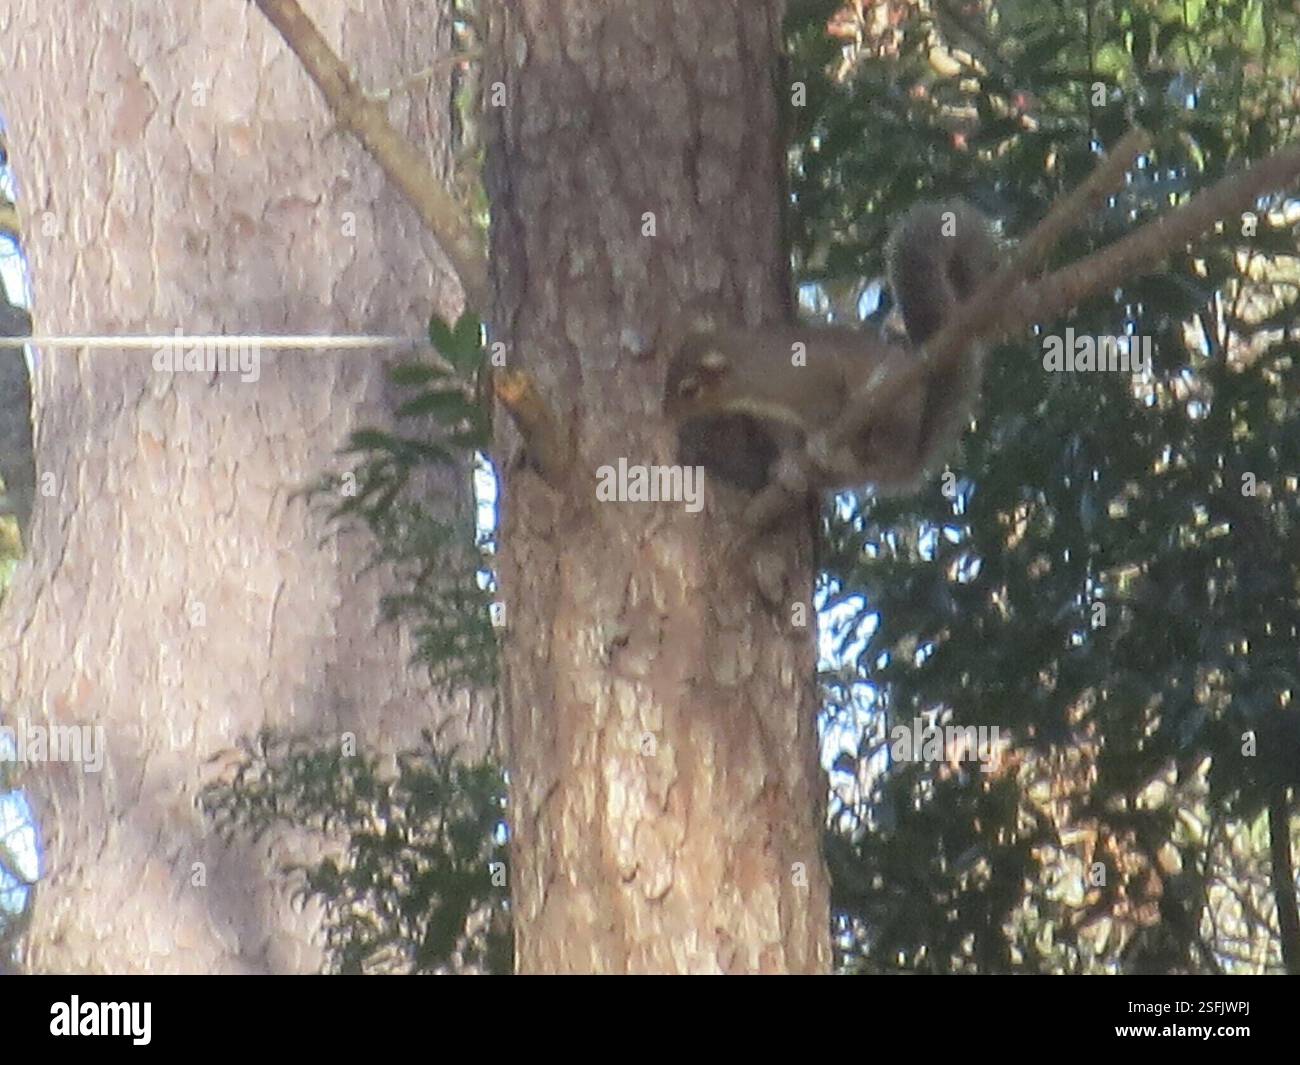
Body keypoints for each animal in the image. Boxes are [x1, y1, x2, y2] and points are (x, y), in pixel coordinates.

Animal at [663, 200, 998, 498]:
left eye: (689, 390)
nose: (666, 417)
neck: (750, 371)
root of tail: (910, 461)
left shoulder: (811, 380)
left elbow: (823, 411)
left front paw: (817, 441)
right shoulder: (775, 416)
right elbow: (785, 439)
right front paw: (788, 464)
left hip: (894, 415)